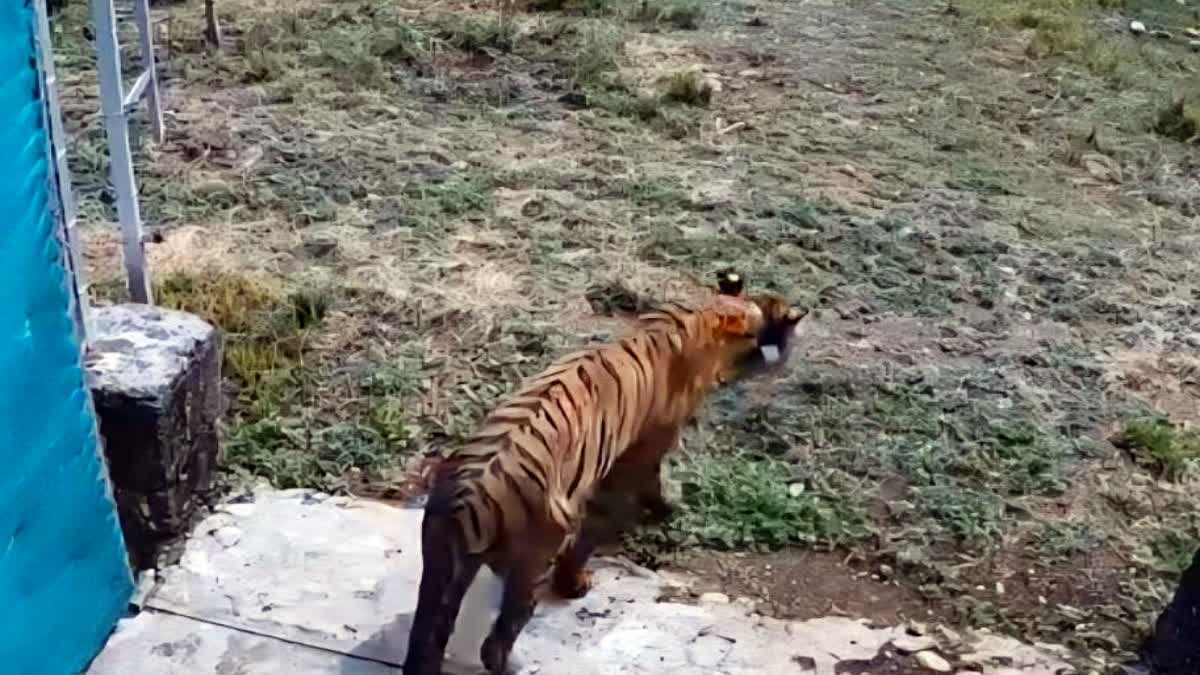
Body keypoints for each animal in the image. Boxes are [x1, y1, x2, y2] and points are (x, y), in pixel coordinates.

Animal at [402, 270, 807, 675]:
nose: (787, 351)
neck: (706, 314)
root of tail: (470, 496)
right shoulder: (638, 458)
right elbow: (613, 518)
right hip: (531, 561)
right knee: (498, 638)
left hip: (440, 566)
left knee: (428, 637)